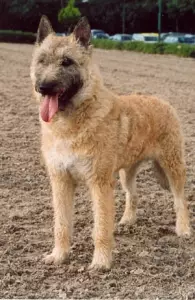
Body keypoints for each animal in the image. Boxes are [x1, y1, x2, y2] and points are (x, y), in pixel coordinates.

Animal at [30, 15, 190, 270]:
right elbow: (61, 225)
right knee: (133, 196)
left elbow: (102, 228)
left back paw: (183, 229)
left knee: (180, 200)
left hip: (173, 168)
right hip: (126, 174)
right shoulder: (61, 181)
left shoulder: (100, 183)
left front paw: (101, 262)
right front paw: (59, 255)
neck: (71, 123)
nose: (43, 87)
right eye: (42, 61)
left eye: (67, 62)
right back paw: (127, 220)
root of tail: (162, 101)